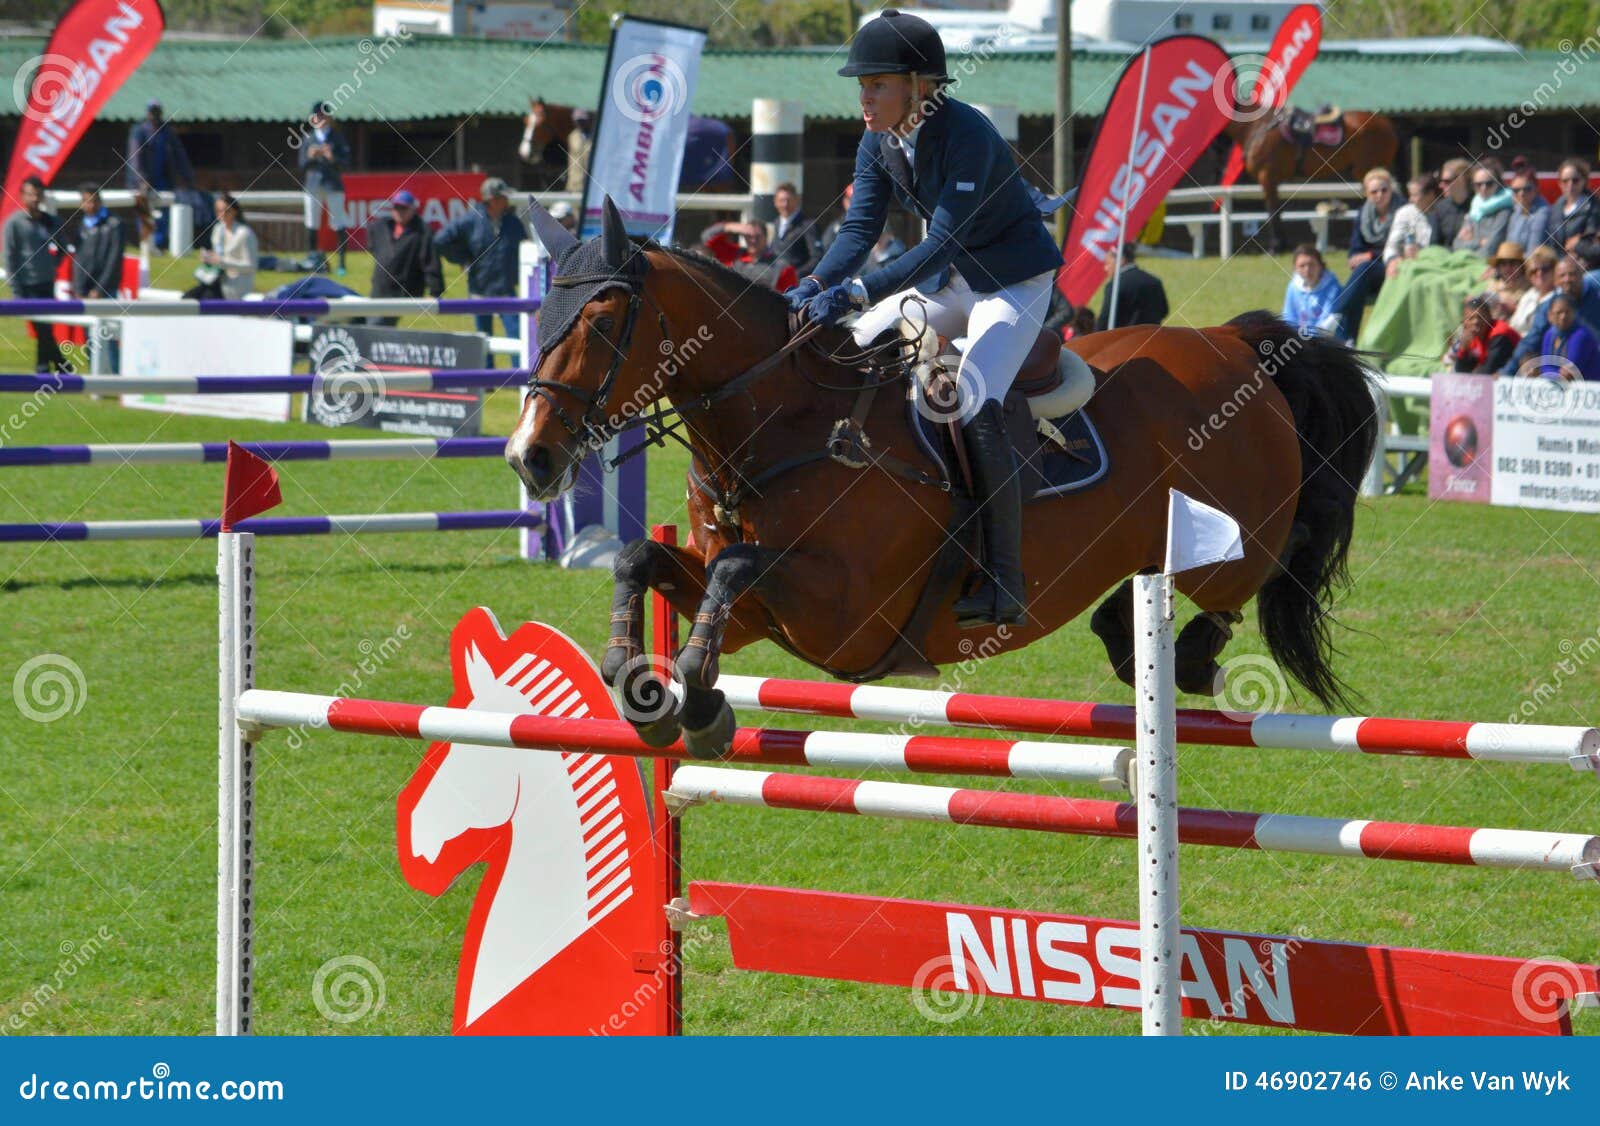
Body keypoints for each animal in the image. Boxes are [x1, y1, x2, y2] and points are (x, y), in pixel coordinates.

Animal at [507, 198, 1379, 760]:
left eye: (603, 321)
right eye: (543, 313)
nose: (528, 456)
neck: (780, 424)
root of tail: (1231, 343)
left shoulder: (841, 610)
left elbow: (734, 567)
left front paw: (695, 698)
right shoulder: (762, 617)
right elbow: (641, 559)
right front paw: (645, 692)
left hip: (1232, 531)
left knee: (1275, 555)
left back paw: (1190, 655)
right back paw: (1135, 643)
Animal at [1223, 107, 1399, 253]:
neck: (1257, 126)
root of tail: (1386, 124)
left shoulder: (1268, 177)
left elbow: (1273, 210)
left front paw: (1277, 246)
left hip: (1368, 171)